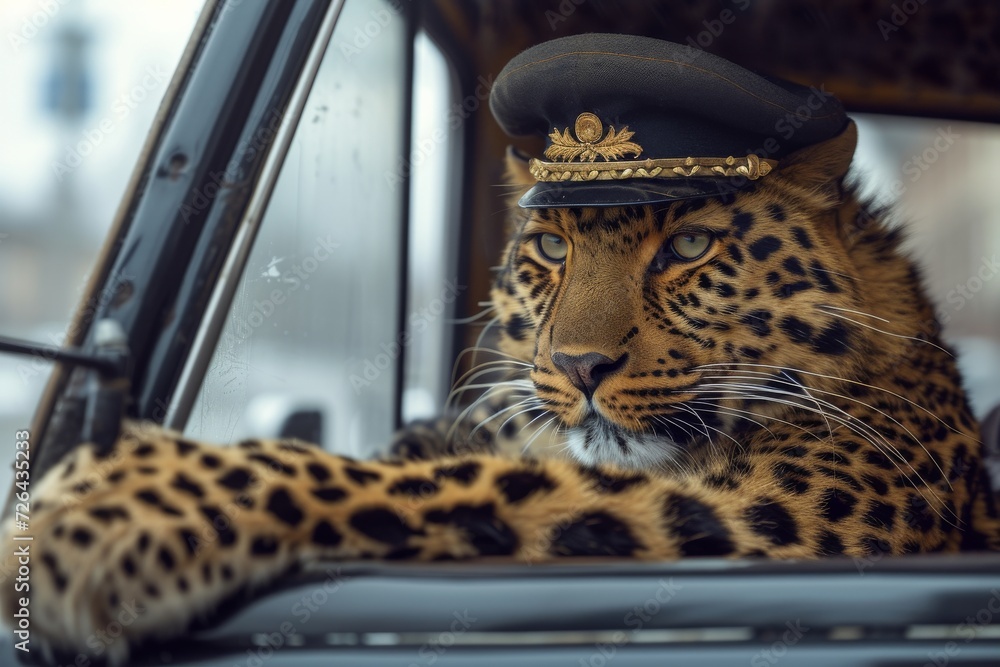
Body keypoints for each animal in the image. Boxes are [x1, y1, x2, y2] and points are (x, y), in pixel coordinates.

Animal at [4, 119, 999, 664]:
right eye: (552, 247)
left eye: (688, 246)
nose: (581, 365)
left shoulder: (769, 519)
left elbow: (447, 484)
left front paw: (118, 504)